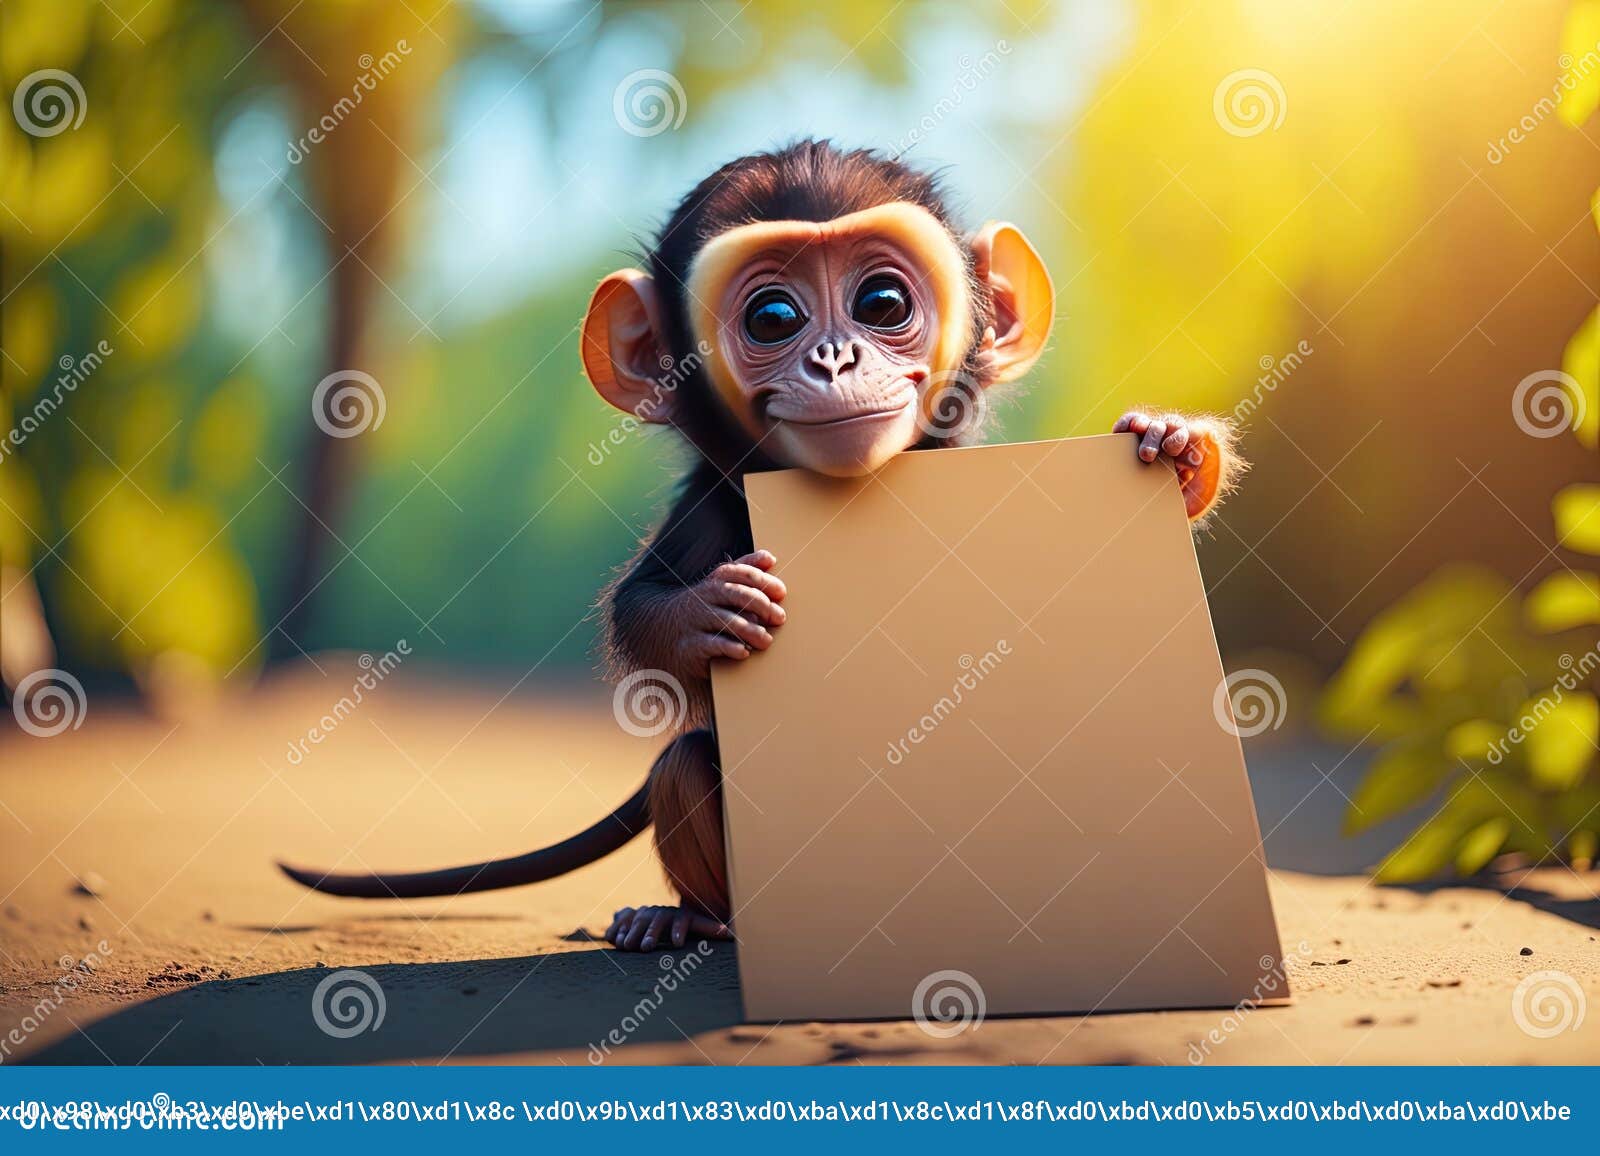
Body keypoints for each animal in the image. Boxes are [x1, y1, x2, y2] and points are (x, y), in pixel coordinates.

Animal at [277, 140, 1243, 952]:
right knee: (682, 762)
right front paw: (713, 610)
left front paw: (1177, 446)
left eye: (882, 303)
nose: (835, 358)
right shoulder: (707, 503)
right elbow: (639, 608)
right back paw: (685, 922)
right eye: (774, 316)